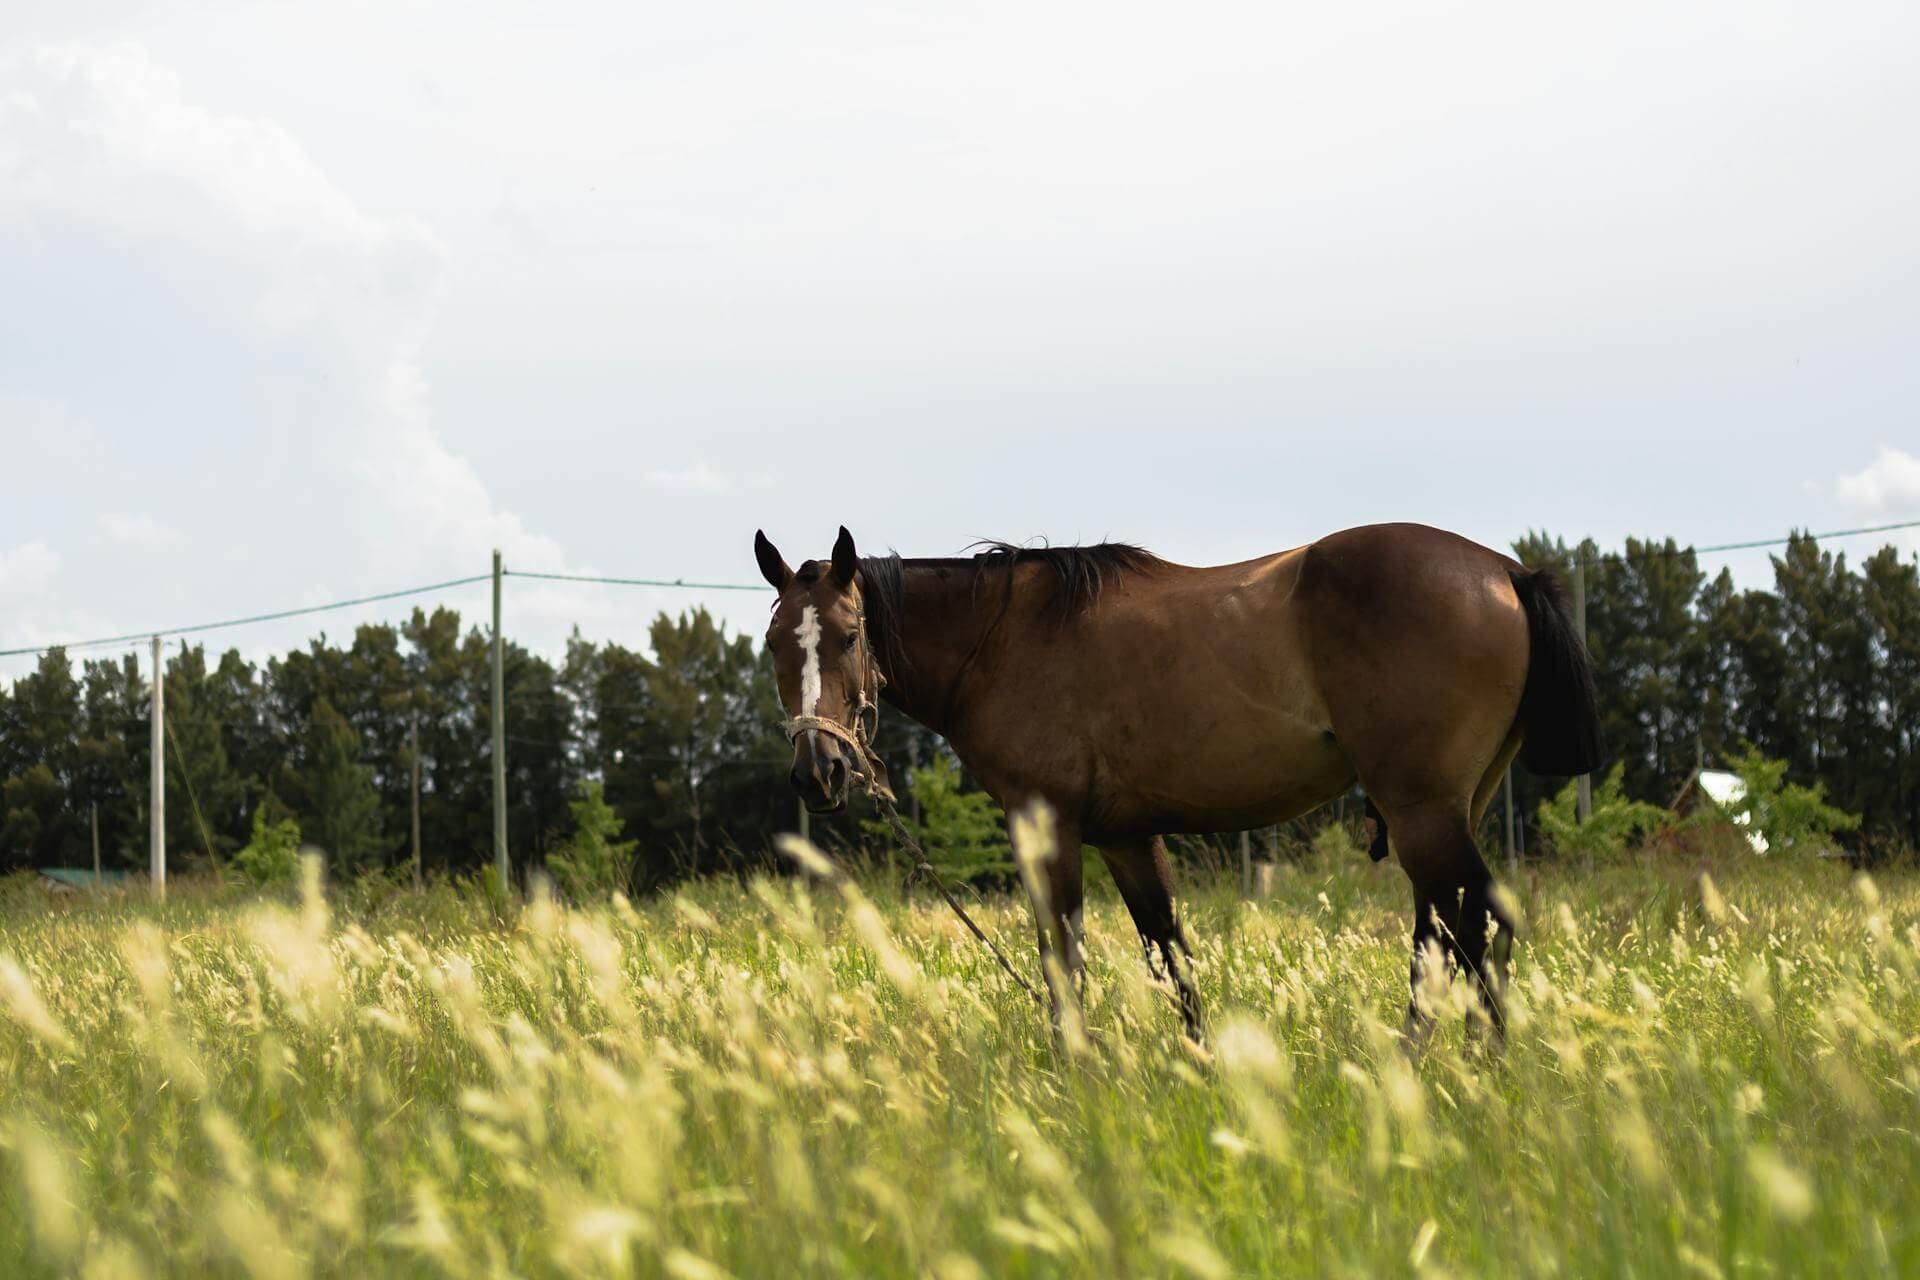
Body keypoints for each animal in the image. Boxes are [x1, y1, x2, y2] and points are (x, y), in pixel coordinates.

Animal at [752, 523, 1601, 1043]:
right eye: (772, 644)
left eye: (849, 636)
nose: (818, 771)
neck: (1000, 639)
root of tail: (1507, 571)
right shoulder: (1127, 838)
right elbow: (1172, 962)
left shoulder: (1048, 827)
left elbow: (1064, 962)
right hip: (1449, 809)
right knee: (1447, 936)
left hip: (1423, 811)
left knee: (1476, 928)